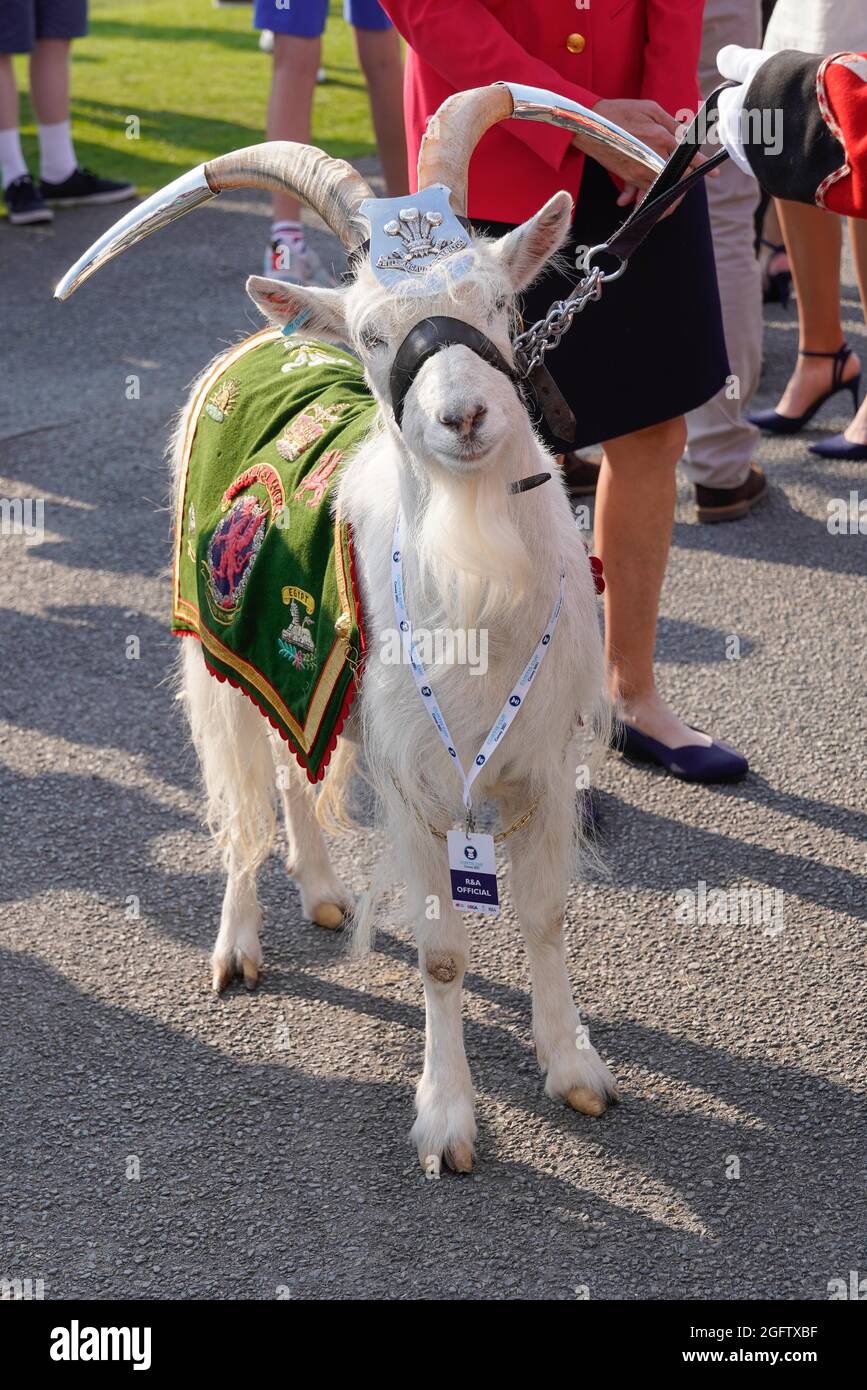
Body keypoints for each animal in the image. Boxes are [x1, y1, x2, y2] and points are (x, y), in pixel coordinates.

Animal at [55, 83, 638, 1172]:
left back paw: (323, 891)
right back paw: (236, 946)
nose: (464, 418)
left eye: (499, 303)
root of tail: (267, 337)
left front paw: (574, 1067)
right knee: (242, 801)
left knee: (294, 766)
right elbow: (443, 953)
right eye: (373, 334)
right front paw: (447, 1120)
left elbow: (545, 916)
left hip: (302, 663)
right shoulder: (417, 781)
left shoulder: (540, 764)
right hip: (215, 652)